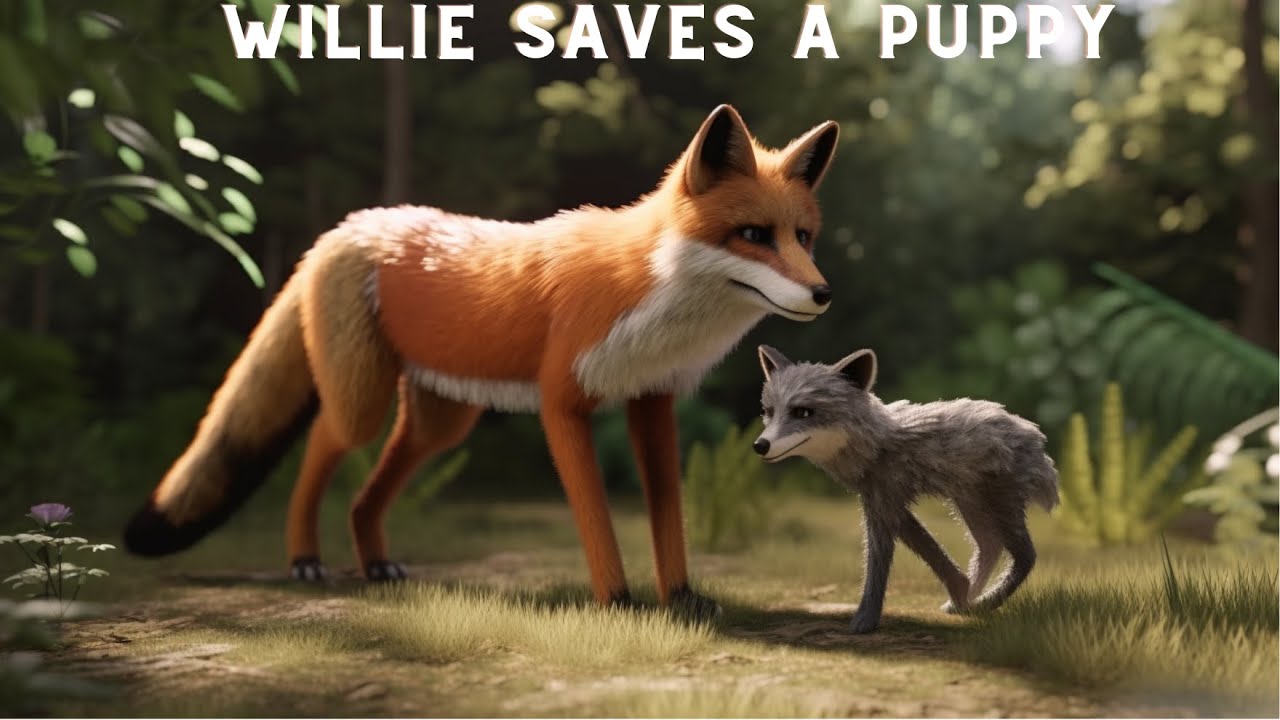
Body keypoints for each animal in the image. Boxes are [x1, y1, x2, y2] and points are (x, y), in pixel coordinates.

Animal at [122, 105, 841, 616]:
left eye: (803, 237)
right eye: (753, 235)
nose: (823, 294)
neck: (644, 290)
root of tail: (348, 227)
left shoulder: (651, 402)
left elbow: (669, 518)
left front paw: (682, 599)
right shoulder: (562, 404)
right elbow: (596, 519)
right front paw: (617, 601)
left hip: (441, 423)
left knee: (365, 492)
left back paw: (376, 565)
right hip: (364, 403)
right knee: (321, 446)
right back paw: (304, 560)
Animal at [753, 345, 1058, 633]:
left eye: (803, 412)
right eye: (769, 412)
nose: (760, 445)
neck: (876, 446)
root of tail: (1032, 433)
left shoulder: (885, 502)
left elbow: (878, 562)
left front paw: (865, 620)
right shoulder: (882, 501)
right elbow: (925, 546)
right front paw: (961, 590)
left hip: (999, 504)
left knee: (1025, 556)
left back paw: (987, 602)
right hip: (969, 504)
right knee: (989, 547)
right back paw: (969, 600)